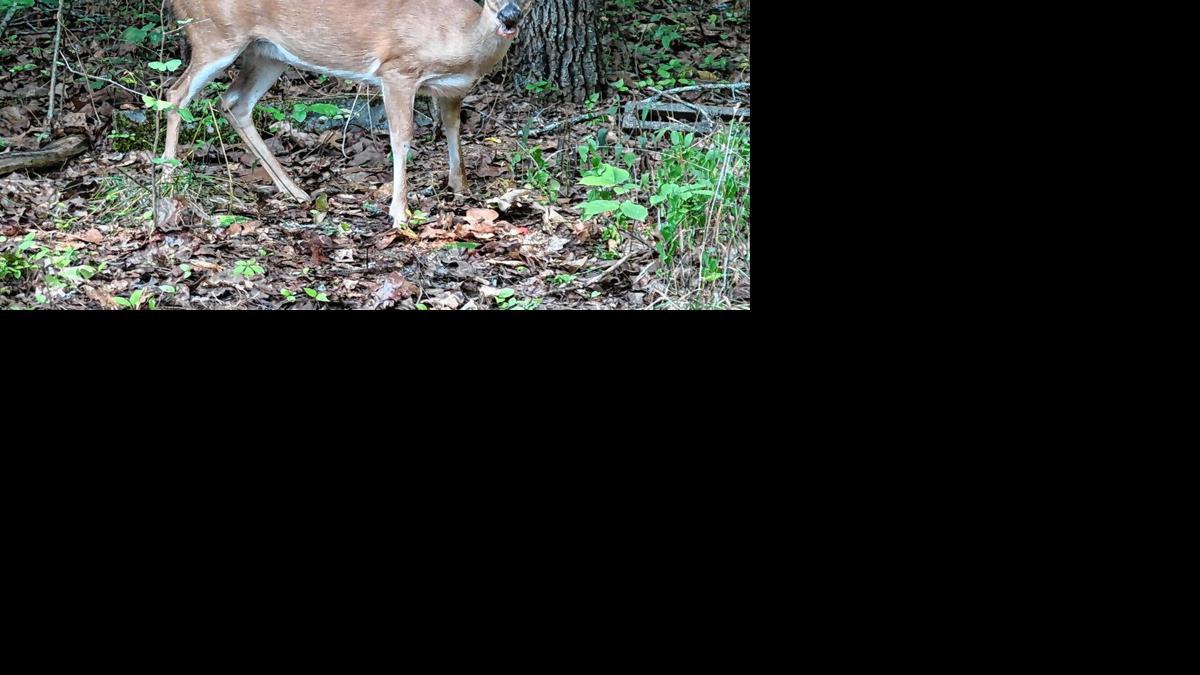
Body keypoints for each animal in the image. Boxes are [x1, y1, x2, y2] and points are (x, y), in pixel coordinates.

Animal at [162, 0, 534, 227]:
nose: (509, 16)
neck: (462, 38)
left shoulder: (453, 90)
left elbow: (454, 131)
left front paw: (460, 188)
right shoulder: (398, 70)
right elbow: (402, 138)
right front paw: (400, 213)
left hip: (267, 52)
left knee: (235, 102)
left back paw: (294, 191)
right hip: (215, 35)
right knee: (176, 93)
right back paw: (166, 184)